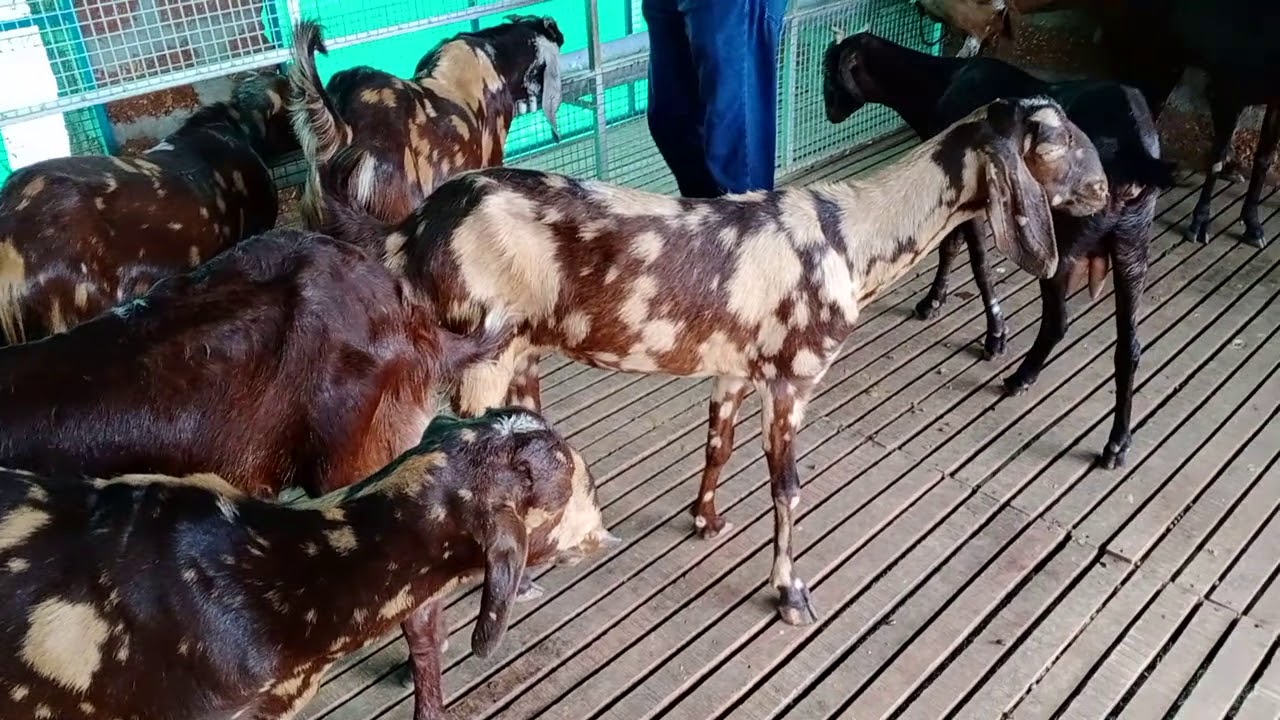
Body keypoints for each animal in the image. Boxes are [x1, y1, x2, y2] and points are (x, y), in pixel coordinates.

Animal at [319, 96, 1109, 626]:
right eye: (1054, 139)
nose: (1105, 187)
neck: (849, 236)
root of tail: (410, 229)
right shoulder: (792, 379)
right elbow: (787, 487)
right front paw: (790, 594)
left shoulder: (734, 369)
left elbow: (717, 446)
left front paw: (705, 520)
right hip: (474, 359)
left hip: (516, 358)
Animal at [823, 31, 1174, 469]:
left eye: (830, 69)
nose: (828, 111)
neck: (938, 83)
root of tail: (1133, 148)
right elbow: (955, 249)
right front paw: (936, 302)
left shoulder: (964, 196)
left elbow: (973, 259)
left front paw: (992, 334)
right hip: (1133, 246)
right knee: (1130, 348)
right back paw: (1116, 443)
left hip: (1065, 242)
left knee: (1057, 321)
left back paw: (1020, 378)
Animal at [1100, 0, 1280, 248]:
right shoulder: (1226, 93)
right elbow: (1216, 161)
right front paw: (1200, 224)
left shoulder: (1274, 102)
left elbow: (1263, 160)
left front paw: (1253, 225)